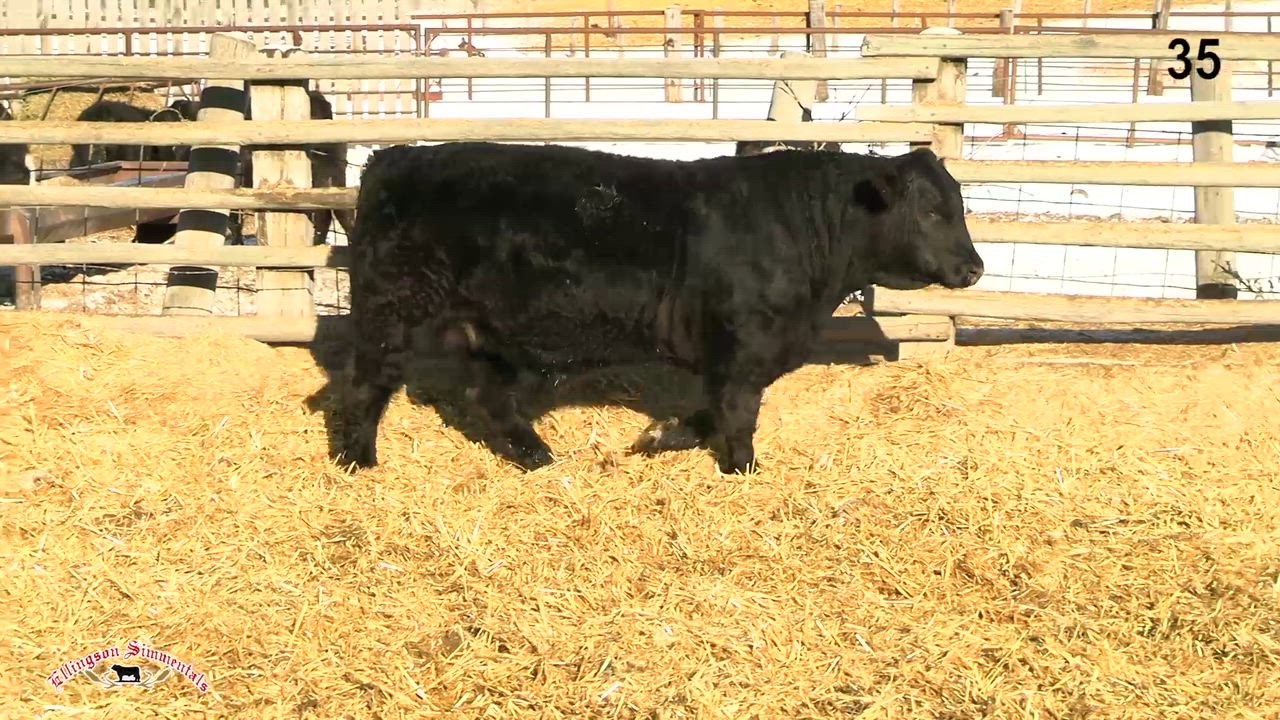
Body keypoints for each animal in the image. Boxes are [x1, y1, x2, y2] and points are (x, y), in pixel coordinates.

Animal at [328, 141, 984, 475]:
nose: (975, 268)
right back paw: (356, 460)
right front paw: (740, 470)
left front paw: (659, 438)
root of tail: (394, 158)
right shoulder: (743, 351)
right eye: (931, 210)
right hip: (393, 313)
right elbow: (736, 417)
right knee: (364, 383)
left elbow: (711, 414)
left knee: (486, 397)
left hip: (492, 332)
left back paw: (536, 456)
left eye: (957, 202)